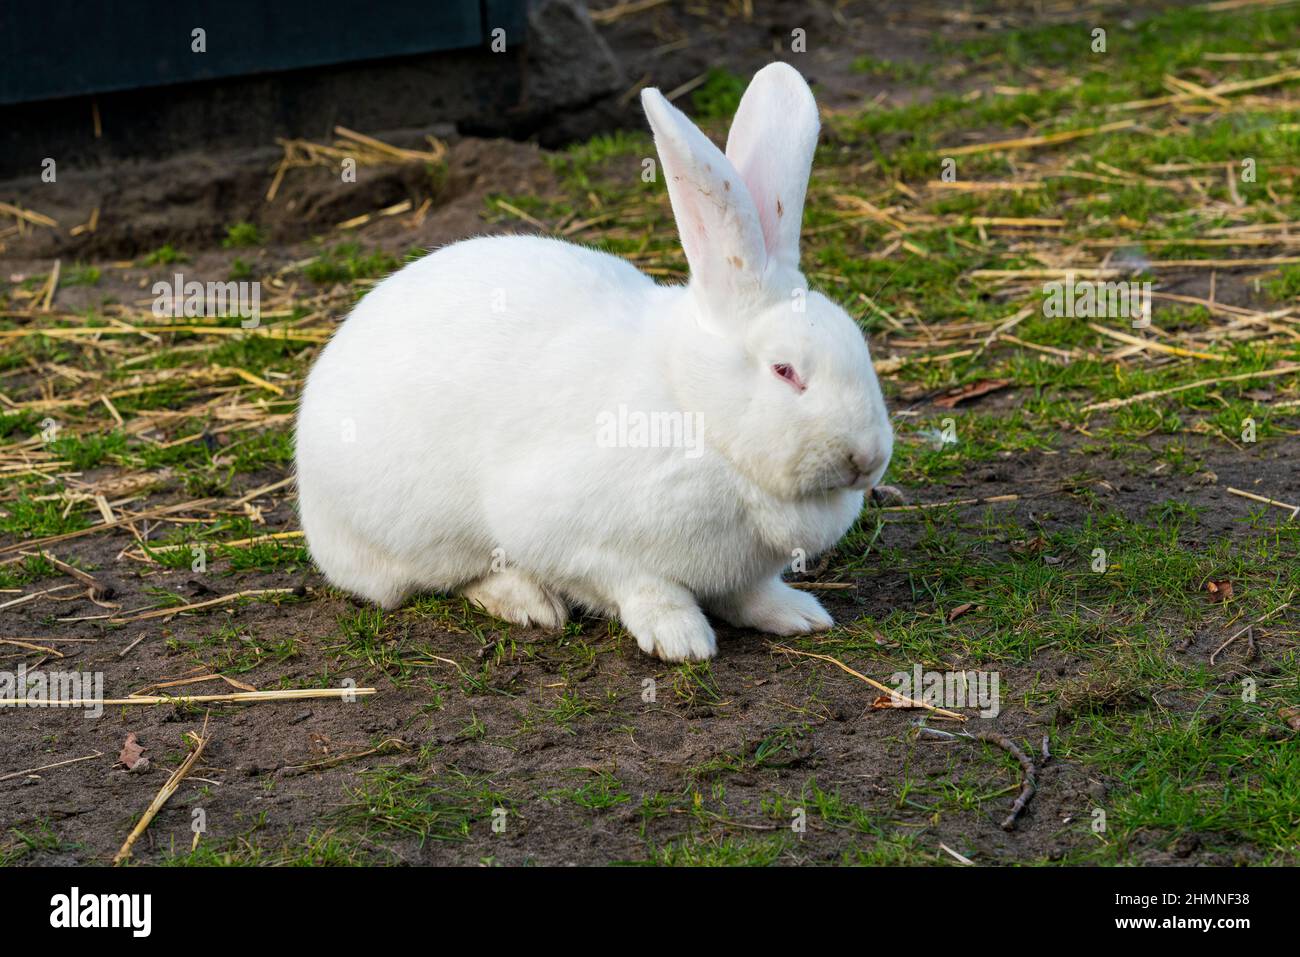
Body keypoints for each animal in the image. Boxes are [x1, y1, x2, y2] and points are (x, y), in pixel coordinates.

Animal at [294, 62, 893, 662]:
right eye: (785, 372)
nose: (868, 458)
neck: (695, 409)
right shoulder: (575, 538)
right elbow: (643, 586)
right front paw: (681, 640)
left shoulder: (741, 572)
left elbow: (749, 593)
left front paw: (797, 615)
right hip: (420, 539)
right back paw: (529, 603)